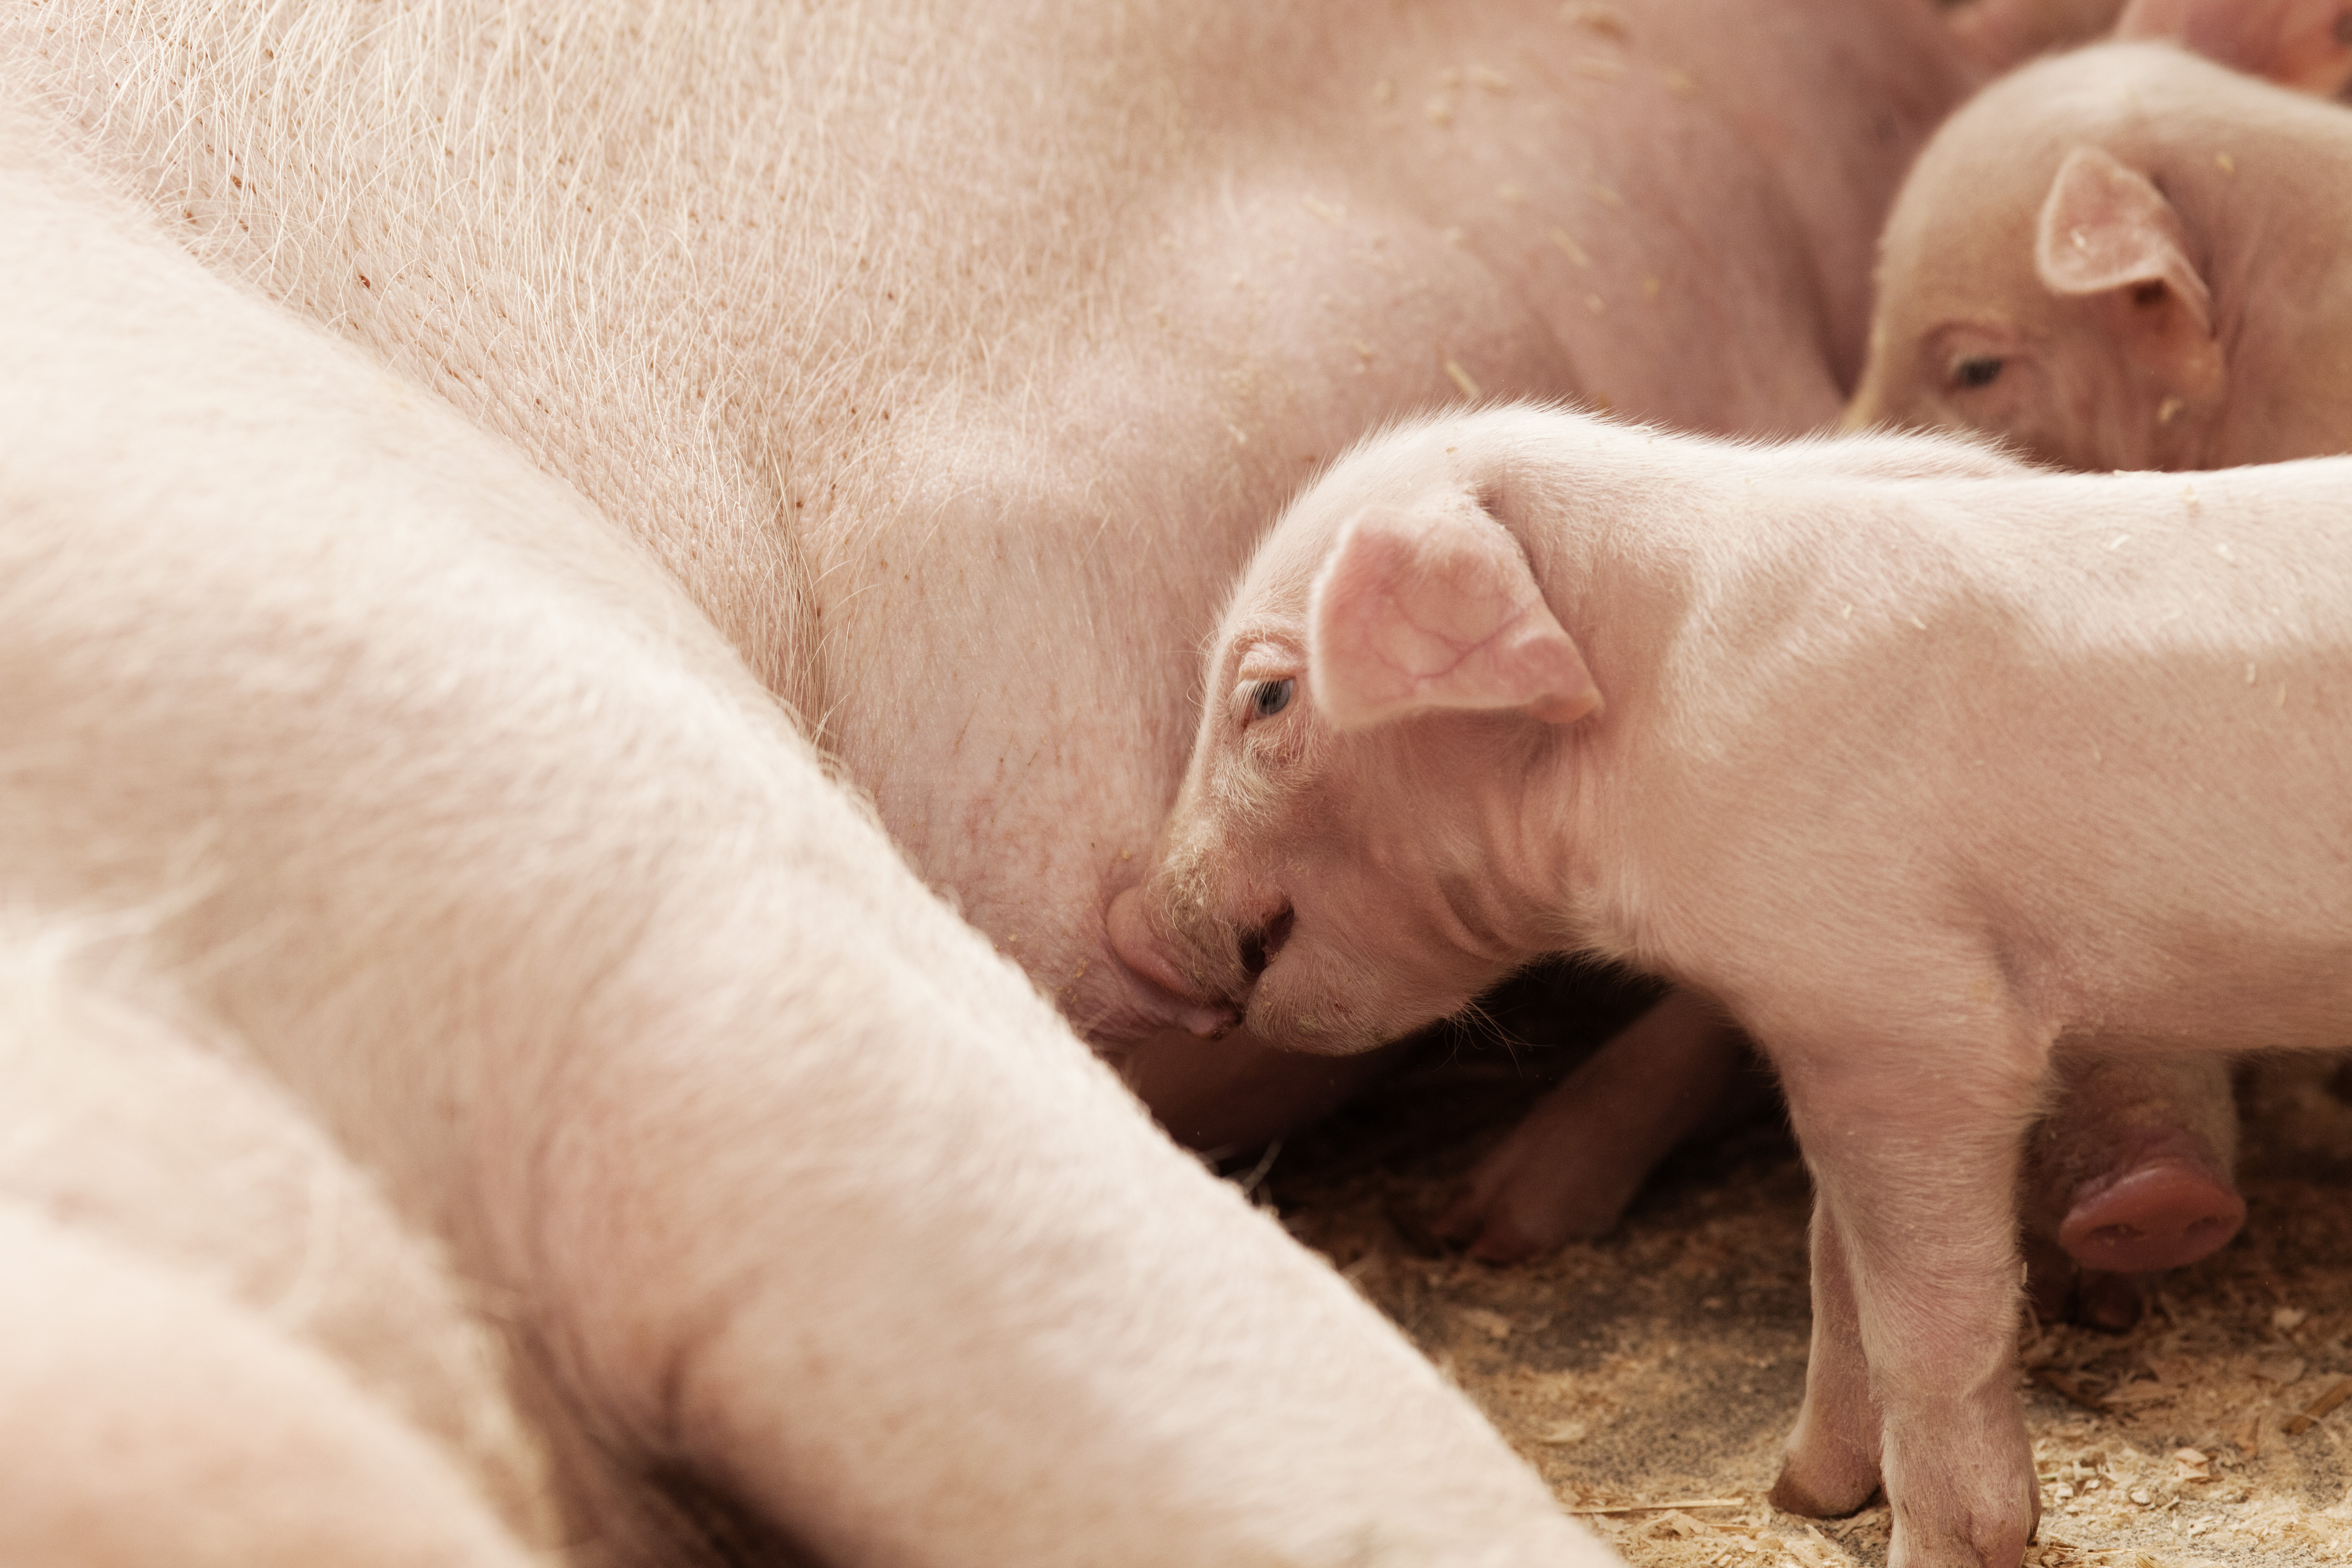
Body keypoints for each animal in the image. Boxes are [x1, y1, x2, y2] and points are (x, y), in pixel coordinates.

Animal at [1109, 402, 2352, 1568]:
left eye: (1269, 698)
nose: (1128, 932)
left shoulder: (1910, 1020)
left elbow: (1926, 1320)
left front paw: (1939, 1547)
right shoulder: (1827, 1037)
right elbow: (1834, 1273)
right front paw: (1802, 1494)